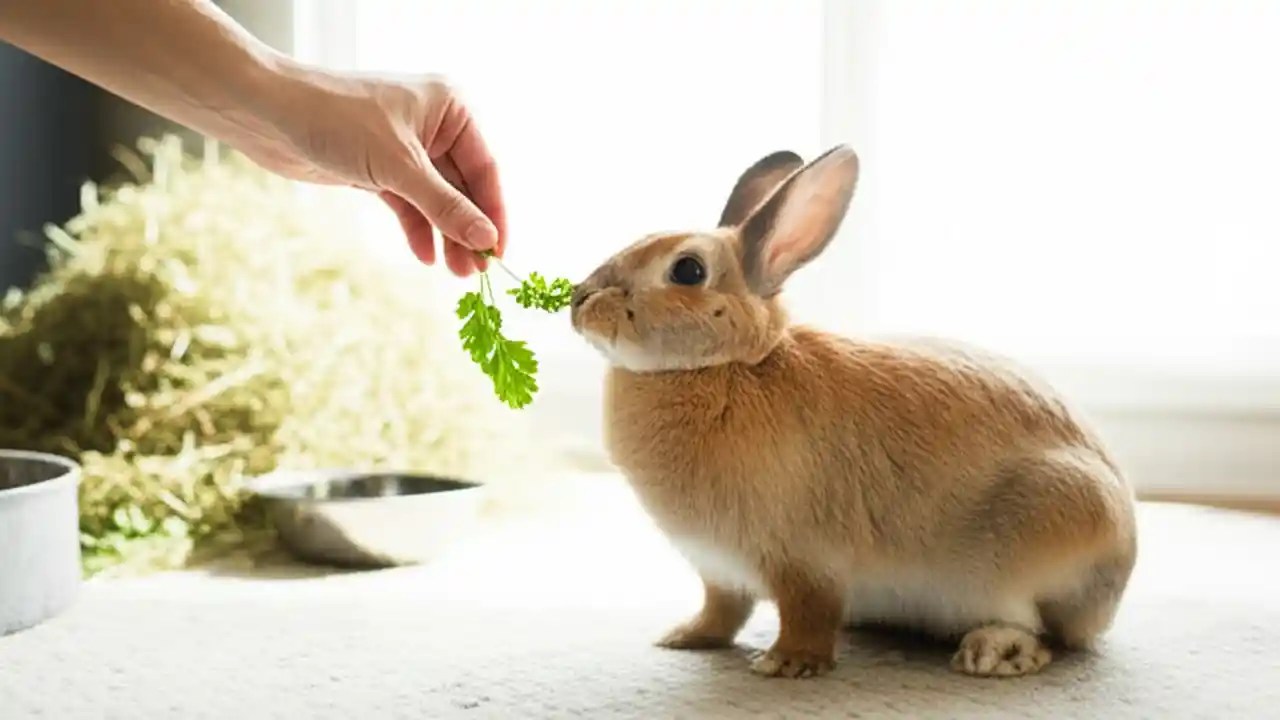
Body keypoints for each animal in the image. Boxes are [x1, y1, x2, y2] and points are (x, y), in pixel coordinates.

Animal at [568, 144, 1137, 680]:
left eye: (688, 270)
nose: (579, 298)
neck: (728, 366)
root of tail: (1120, 562)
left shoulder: (804, 559)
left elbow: (808, 613)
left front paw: (788, 664)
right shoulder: (720, 570)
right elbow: (723, 611)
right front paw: (685, 637)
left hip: (1034, 539)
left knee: (1038, 631)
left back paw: (992, 654)